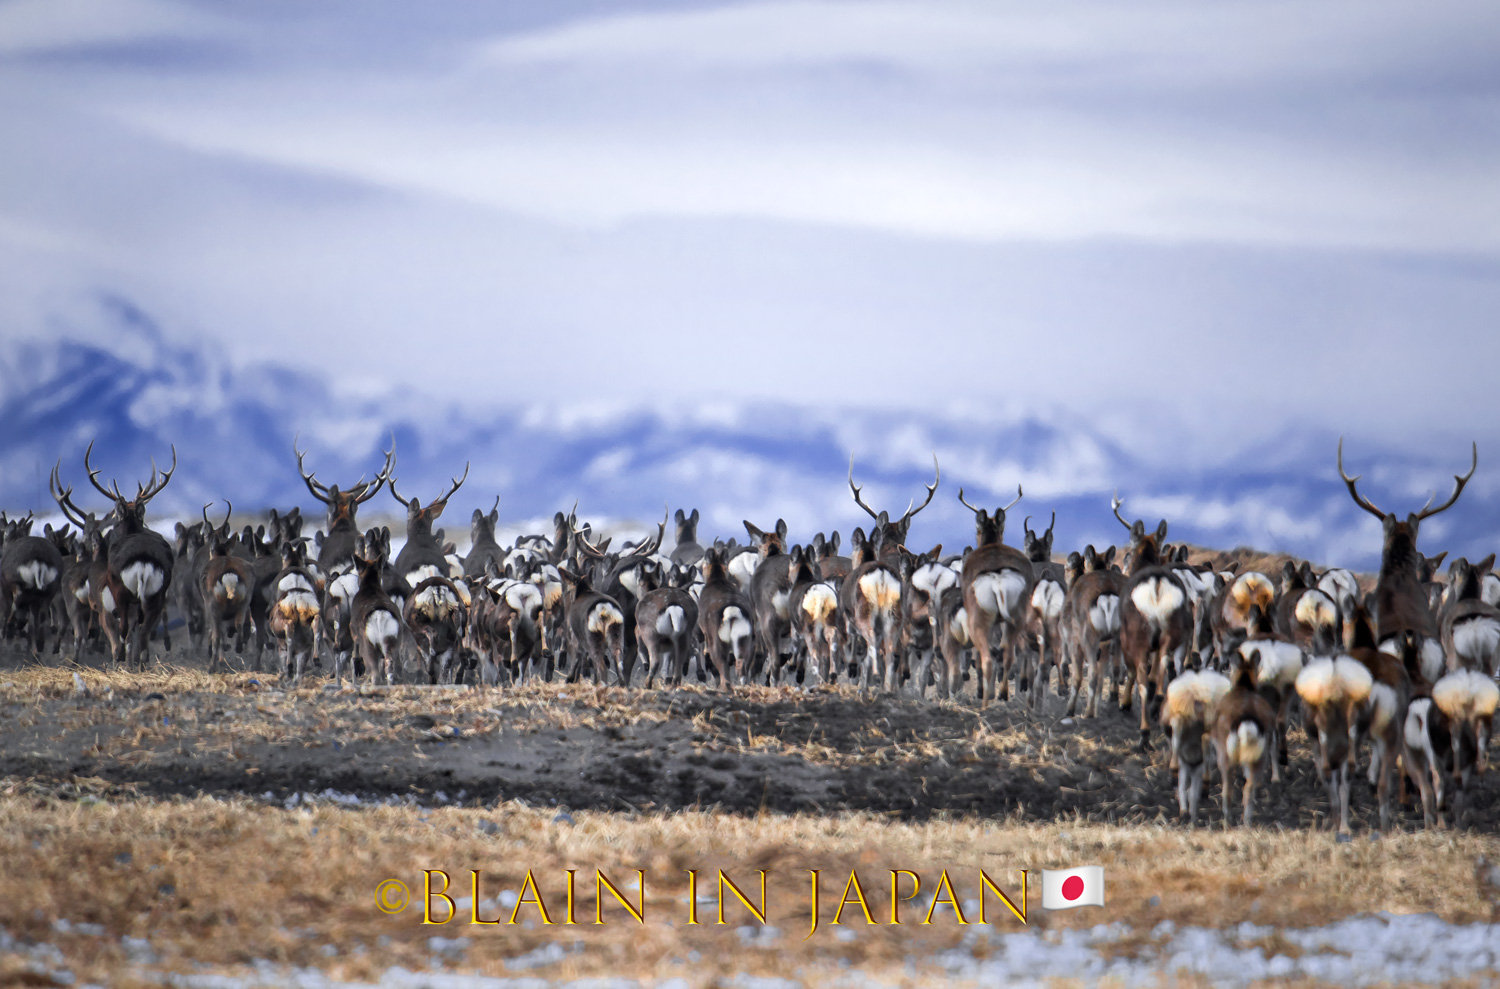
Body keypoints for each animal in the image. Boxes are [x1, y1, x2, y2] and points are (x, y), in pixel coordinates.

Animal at [958, 484, 1030, 707]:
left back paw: (985, 701)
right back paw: (1003, 695)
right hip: (1015, 619)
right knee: (1007, 654)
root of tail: (998, 578)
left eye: (976, 529)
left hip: (979, 621)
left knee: (986, 658)